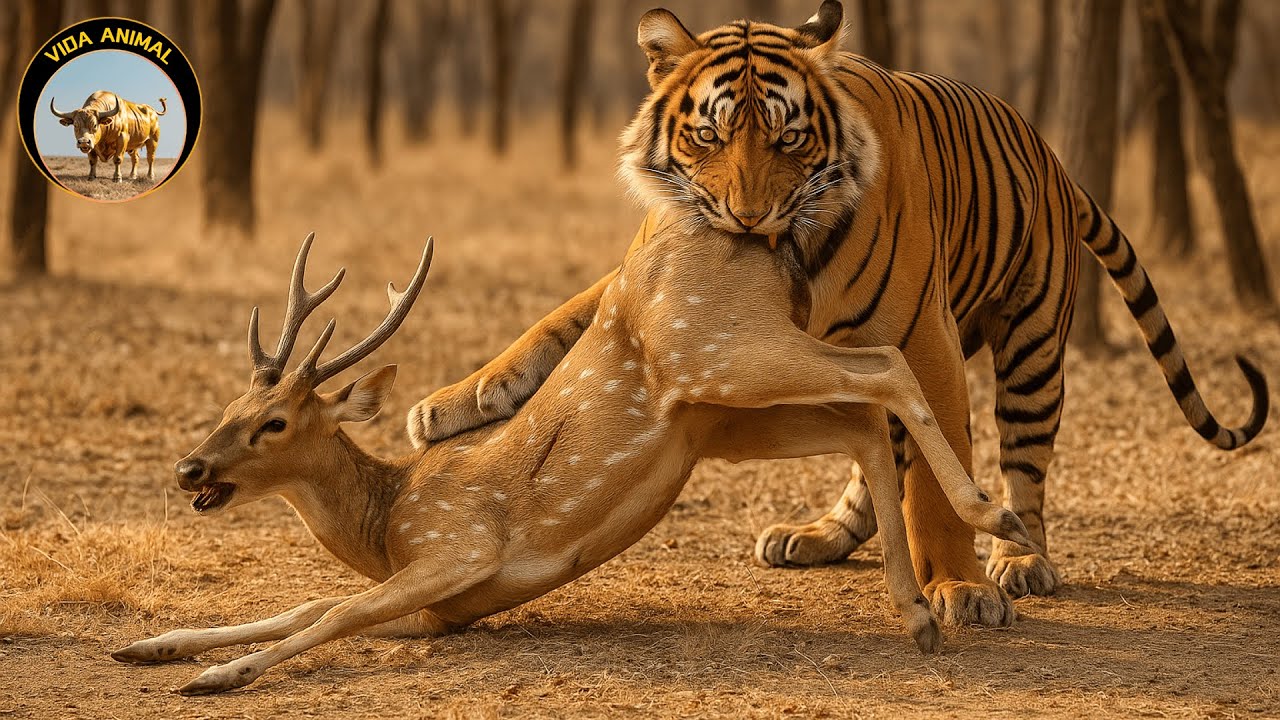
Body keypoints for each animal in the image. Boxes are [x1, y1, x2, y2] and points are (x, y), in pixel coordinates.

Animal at [409, 1, 1268, 627]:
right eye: (708, 133)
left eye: (788, 138)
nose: (747, 217)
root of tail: (1055, 159)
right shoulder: (654, 274)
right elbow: (559, 321)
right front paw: (453, 404)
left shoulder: (925, 340)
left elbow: (938, 477)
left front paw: (962, 587)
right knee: (874, 443)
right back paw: (818, 535)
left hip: (1030, 348)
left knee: (1021, 462)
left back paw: (1021, 558)